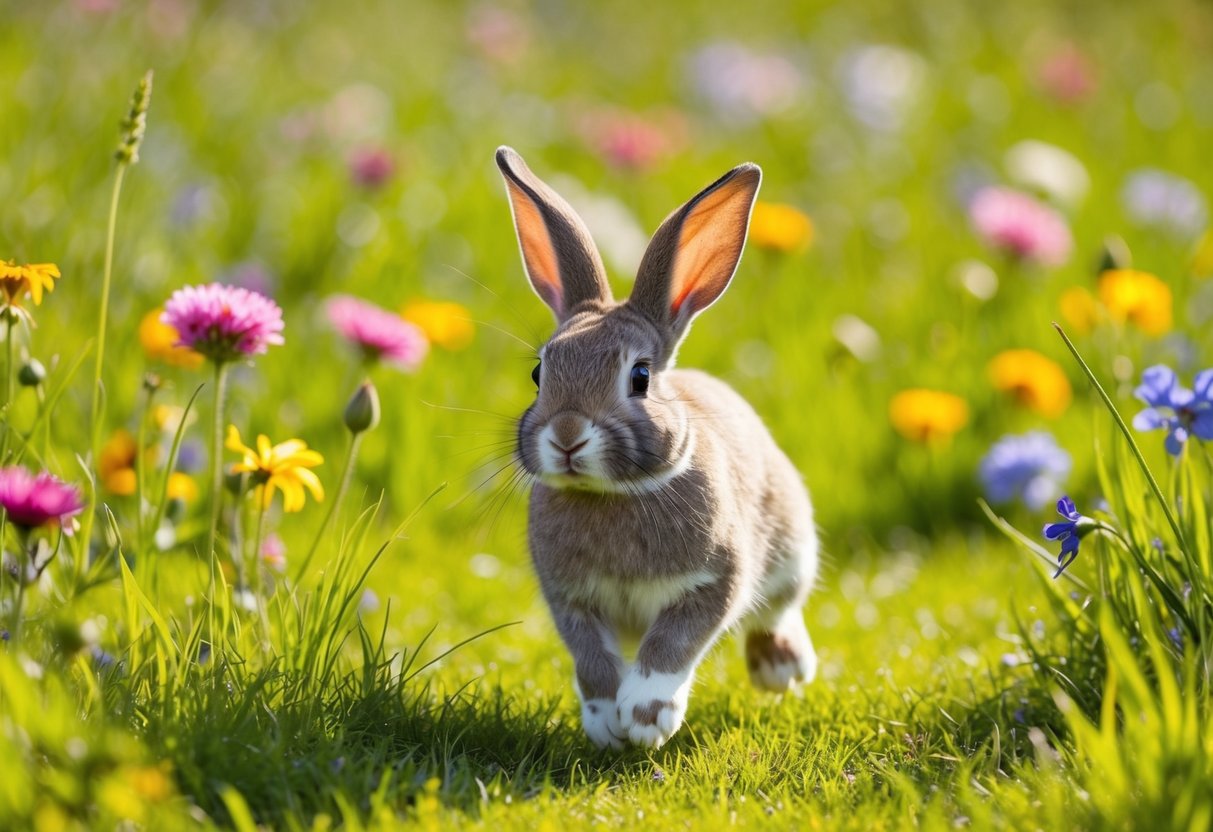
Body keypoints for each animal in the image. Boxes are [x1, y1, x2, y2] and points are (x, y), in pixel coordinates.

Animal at [495, 146, 818, 749]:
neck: (614, 494)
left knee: (778, 610)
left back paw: (780, 667)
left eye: (640, 377)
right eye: (538, 373)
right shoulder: (571, 600)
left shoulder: (714, 581)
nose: (567, 435)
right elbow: (593, 660)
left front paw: (646, 717)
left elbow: (673, 644)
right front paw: (605, 721)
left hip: (792, 544)